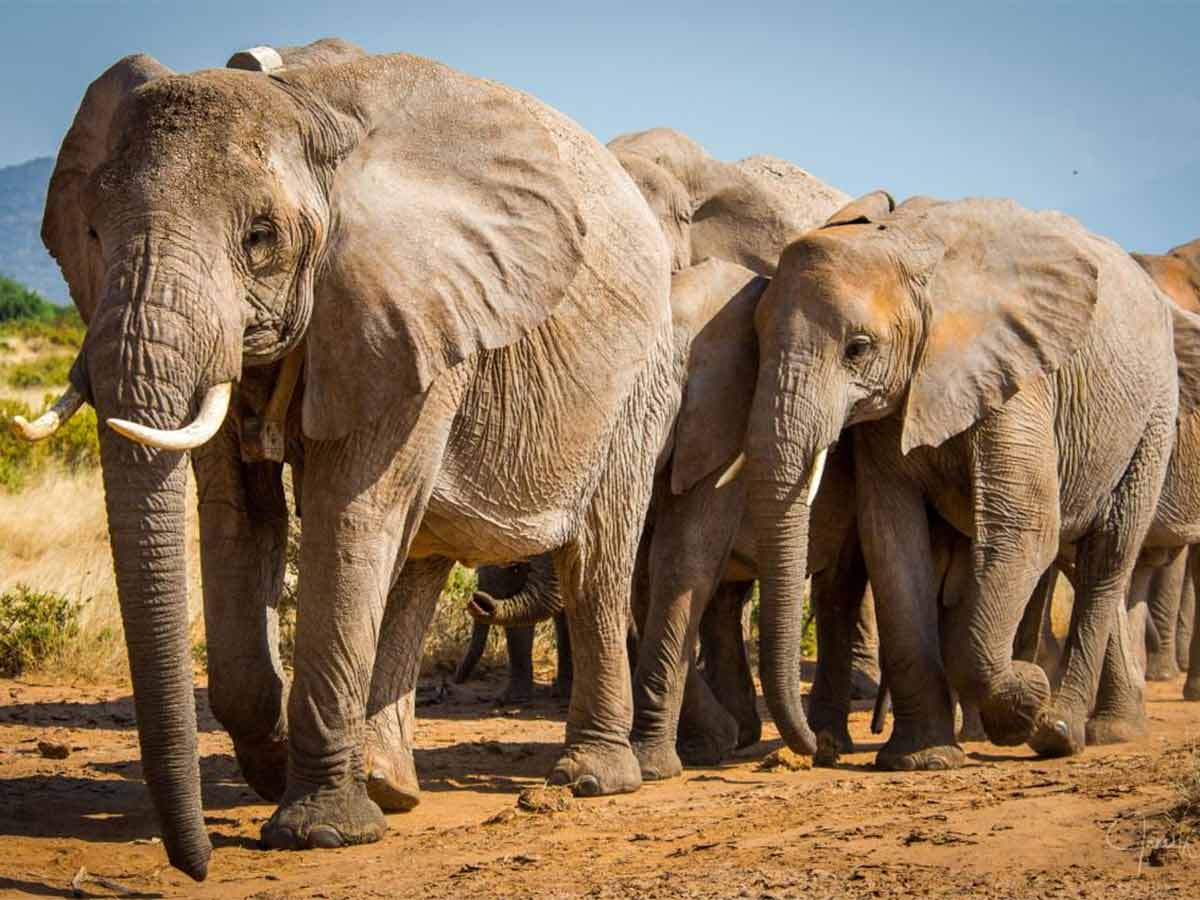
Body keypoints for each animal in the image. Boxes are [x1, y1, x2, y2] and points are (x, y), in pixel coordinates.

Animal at [14, 40, 683, 878]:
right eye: (94, 235)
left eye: (260, 237)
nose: (195, 865)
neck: (303, 107)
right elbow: (238, 516)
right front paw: (273, 768)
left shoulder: (413, 309)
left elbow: (347, 512)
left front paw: (318, 831)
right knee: (420, 558)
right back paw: (389, 785)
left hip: (640, 381)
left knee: (594, 559)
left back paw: (590, 779)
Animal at [743, 191, 1182, 770]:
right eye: (755, 344)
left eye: (858, 348)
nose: (821, 751)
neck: (904, 247)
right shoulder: (892, 407)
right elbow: (892, 540)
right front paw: (921, 760)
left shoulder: (1017, 375)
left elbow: (1025, 525)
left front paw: (1025, 697)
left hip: (1154, 412)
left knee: (1106, 555)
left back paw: (1059, 732)